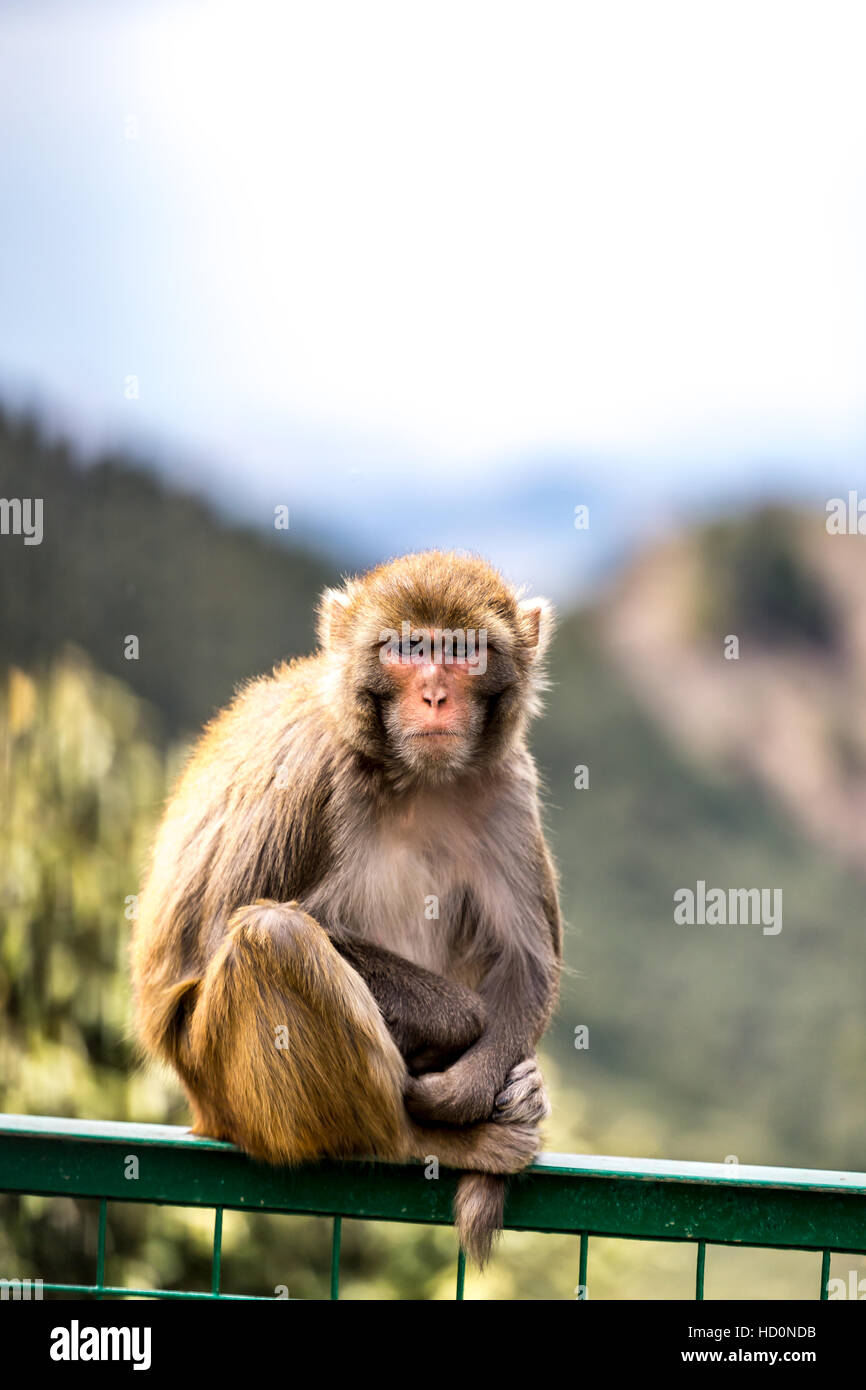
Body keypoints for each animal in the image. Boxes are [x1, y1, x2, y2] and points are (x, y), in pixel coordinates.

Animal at [131, 550, 562, 1266]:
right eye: (409, 648)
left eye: (464, 651)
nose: (436, 695)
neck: (414, 776)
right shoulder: (309, 763)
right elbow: (217, 928)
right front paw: (457, 1035)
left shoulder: (507, 781)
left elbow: (525, 959)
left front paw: (470, 1087)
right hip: (222, 1084)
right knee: (272, 938)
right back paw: (426, 1140)